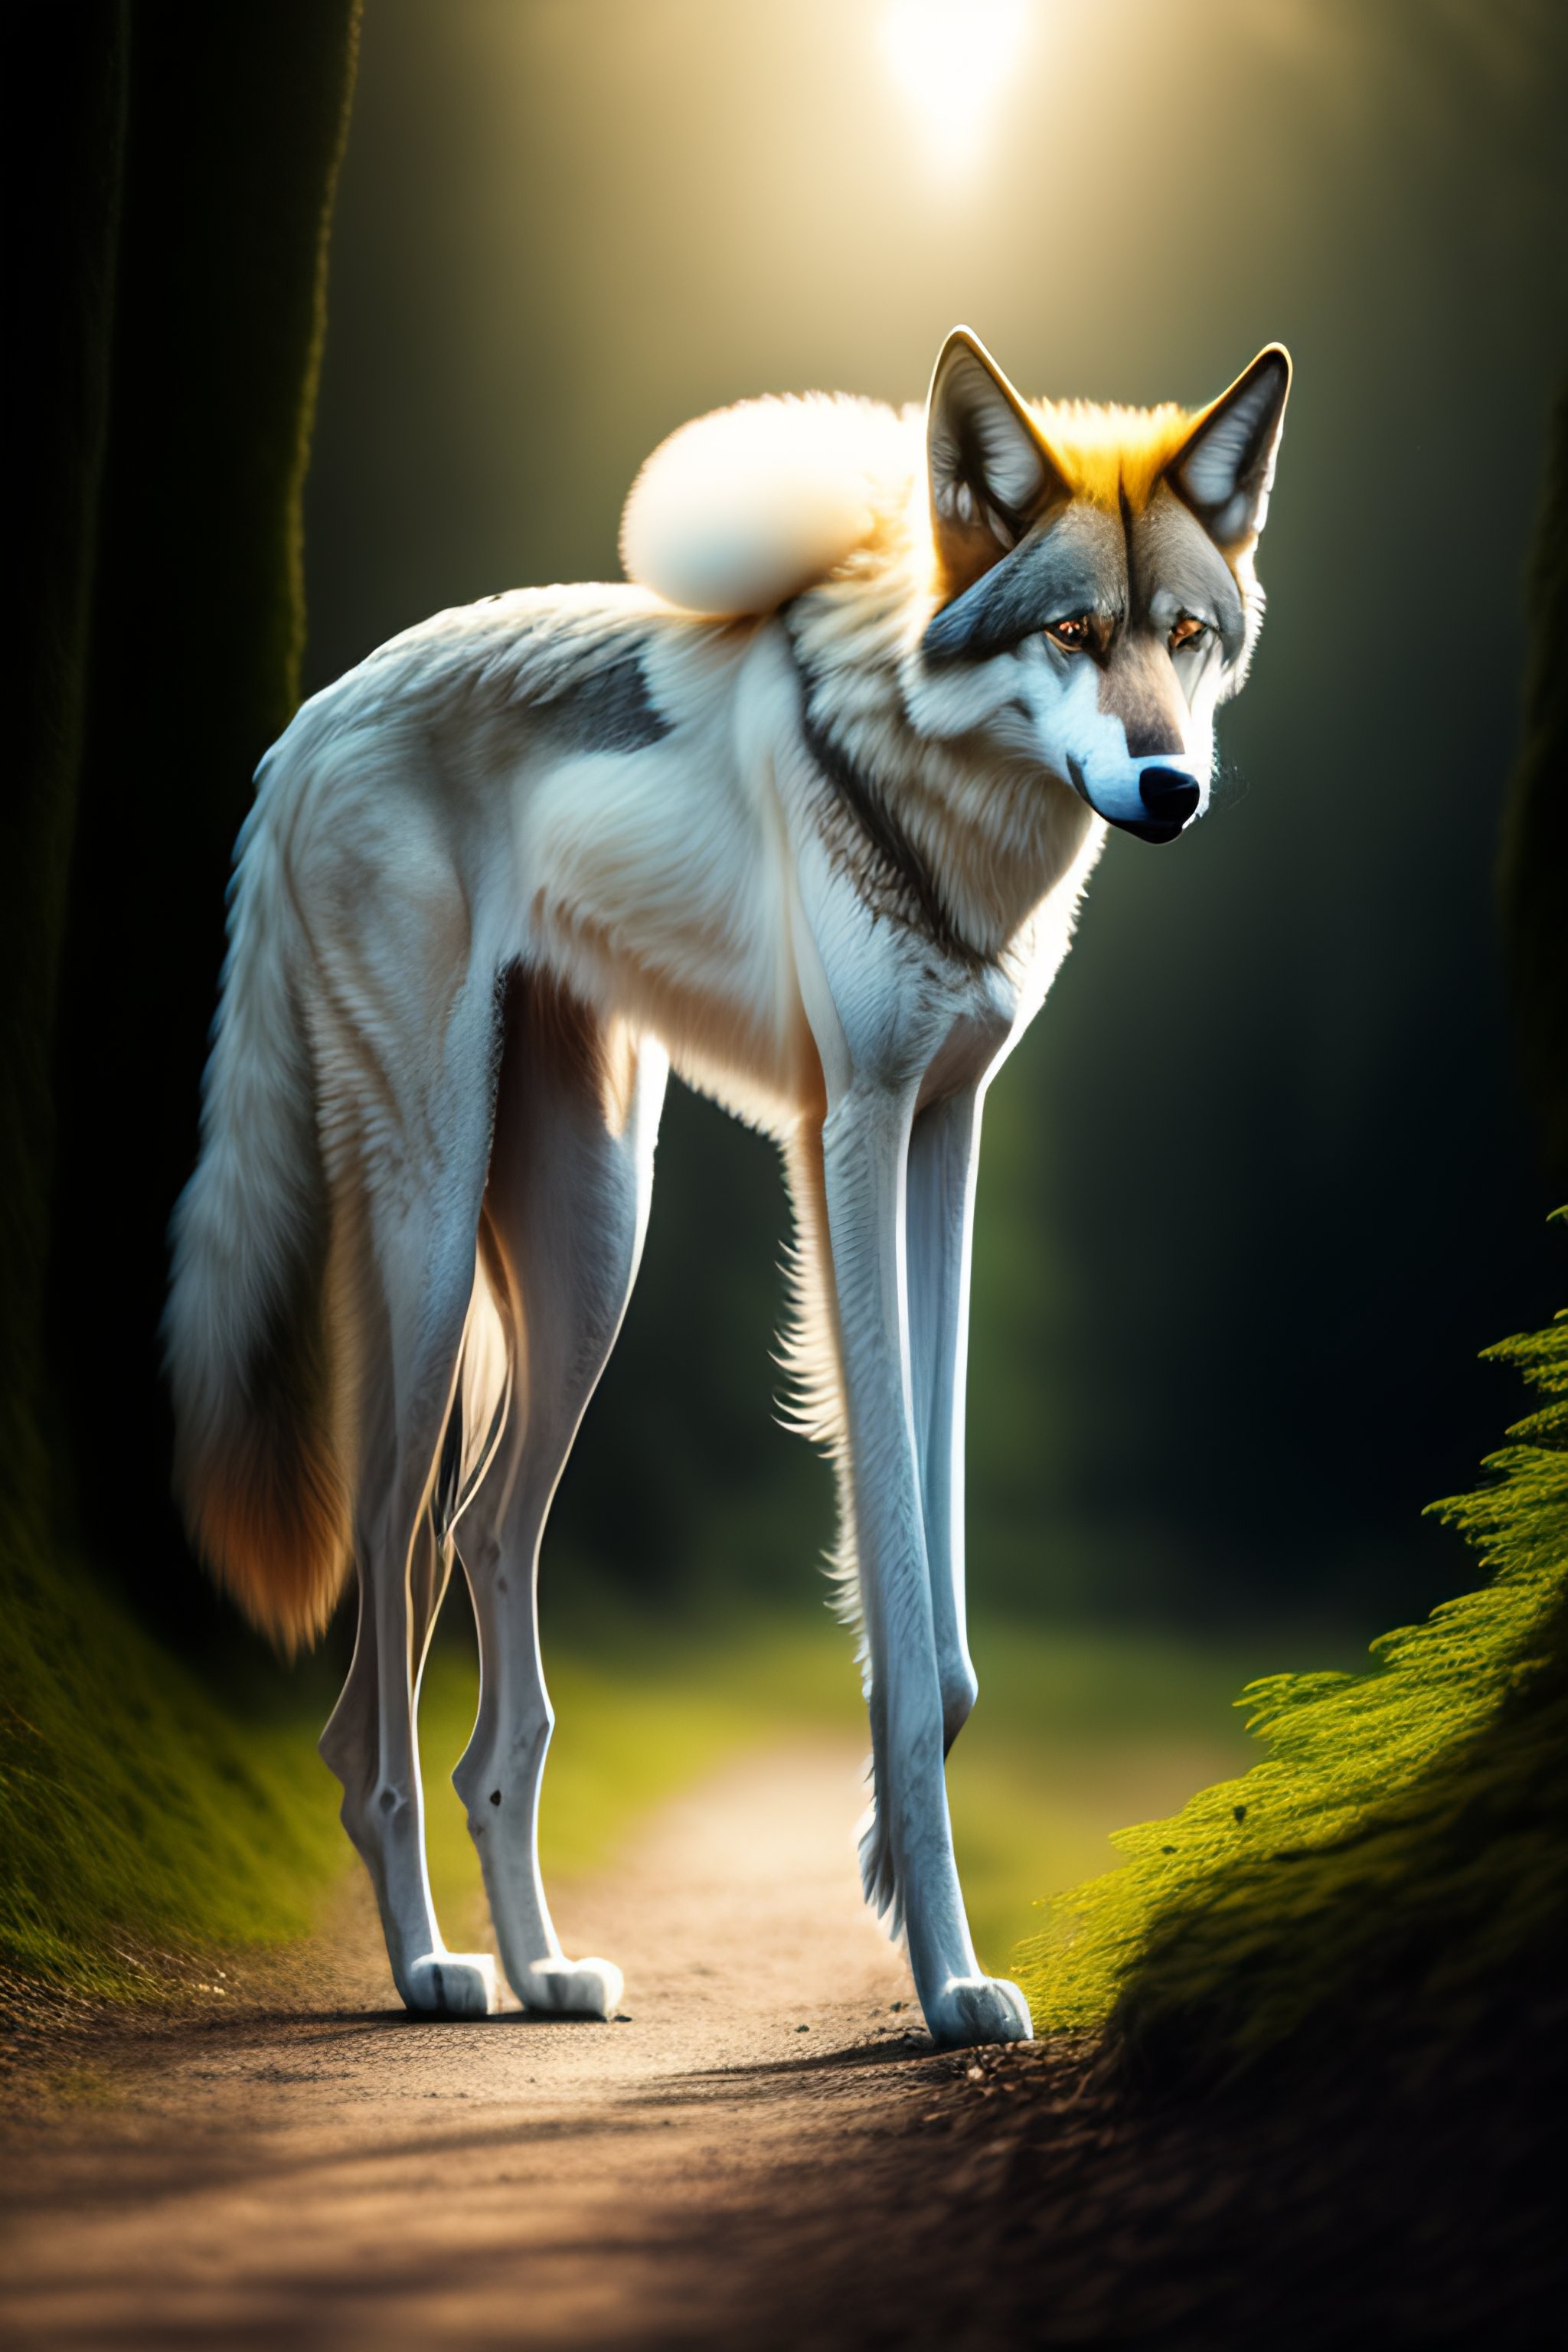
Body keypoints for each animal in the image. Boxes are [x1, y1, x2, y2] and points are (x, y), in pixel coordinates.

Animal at [165, 328, 1289, 2048]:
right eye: (1074, 633)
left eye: (1184, 635)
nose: (1170, 785)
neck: (945, 807)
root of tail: (307, 725)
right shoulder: (854, 1140)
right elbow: (891, 1571)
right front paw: (943, 1977)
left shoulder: (946, 1143)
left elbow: (945, 1637)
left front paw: (898, 1890)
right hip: (429, 1255)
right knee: (377, 1649)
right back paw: (432, 1970)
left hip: (591, 1251)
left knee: (483, 1577)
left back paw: (542, 1968)